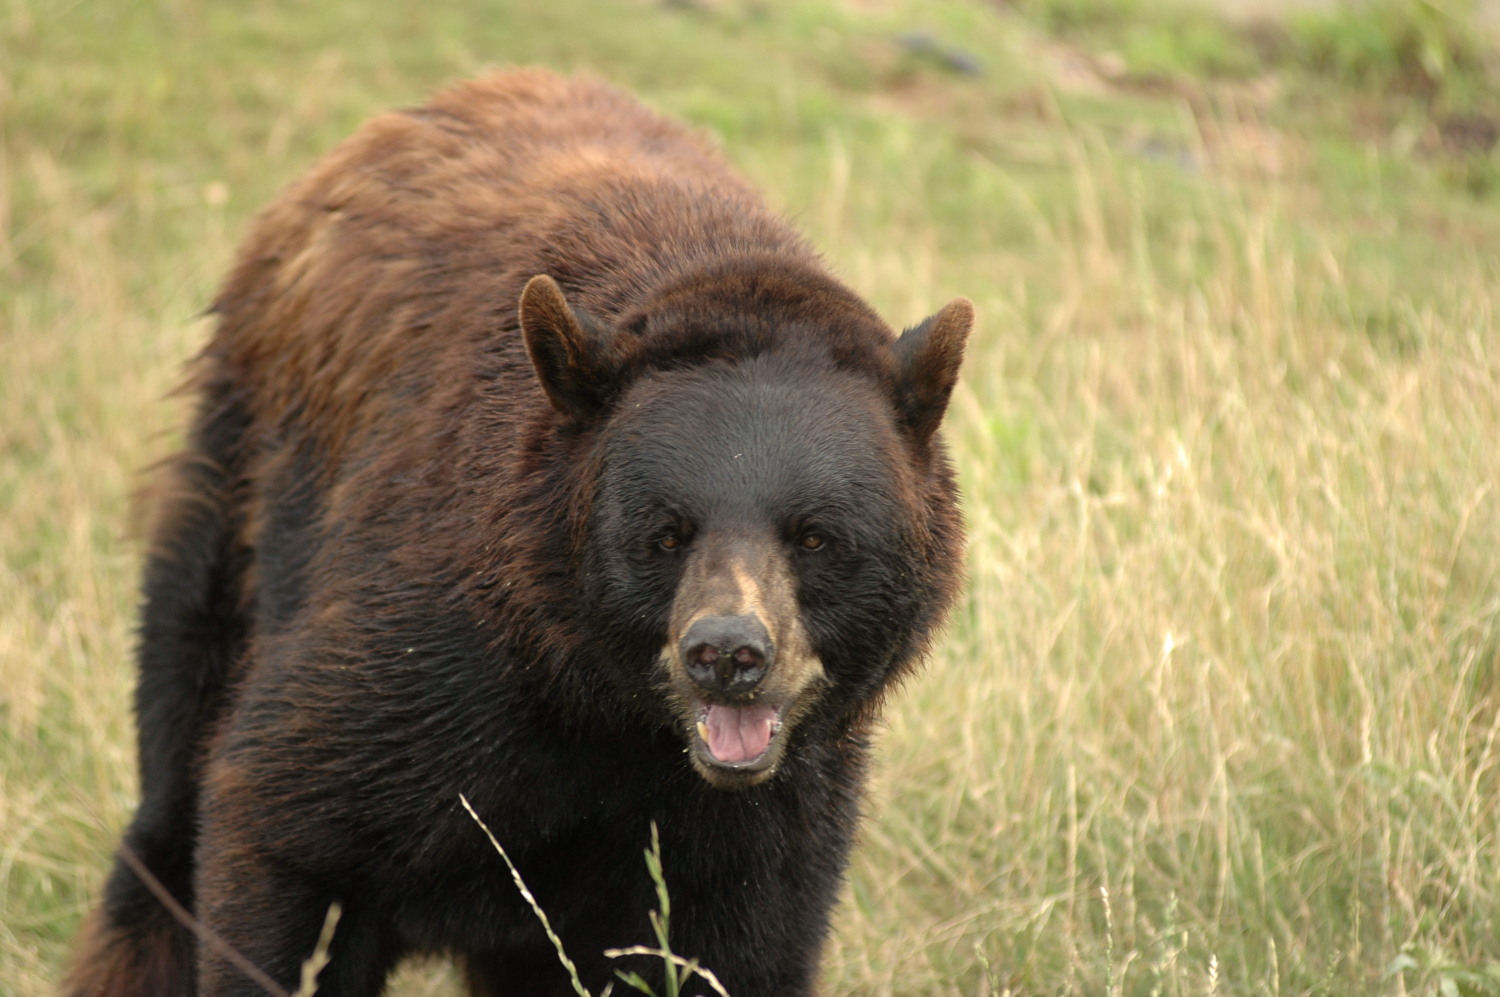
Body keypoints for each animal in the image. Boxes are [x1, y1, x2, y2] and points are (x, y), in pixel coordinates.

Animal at [66, 69, 971, 997]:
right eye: (664, 531)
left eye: (817, 535)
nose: (727, 654)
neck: (613, 718)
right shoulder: (431, 662)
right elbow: (282, 824)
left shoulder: (773, 809)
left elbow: (737, 949)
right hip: (244, 488)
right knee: (176, 761)